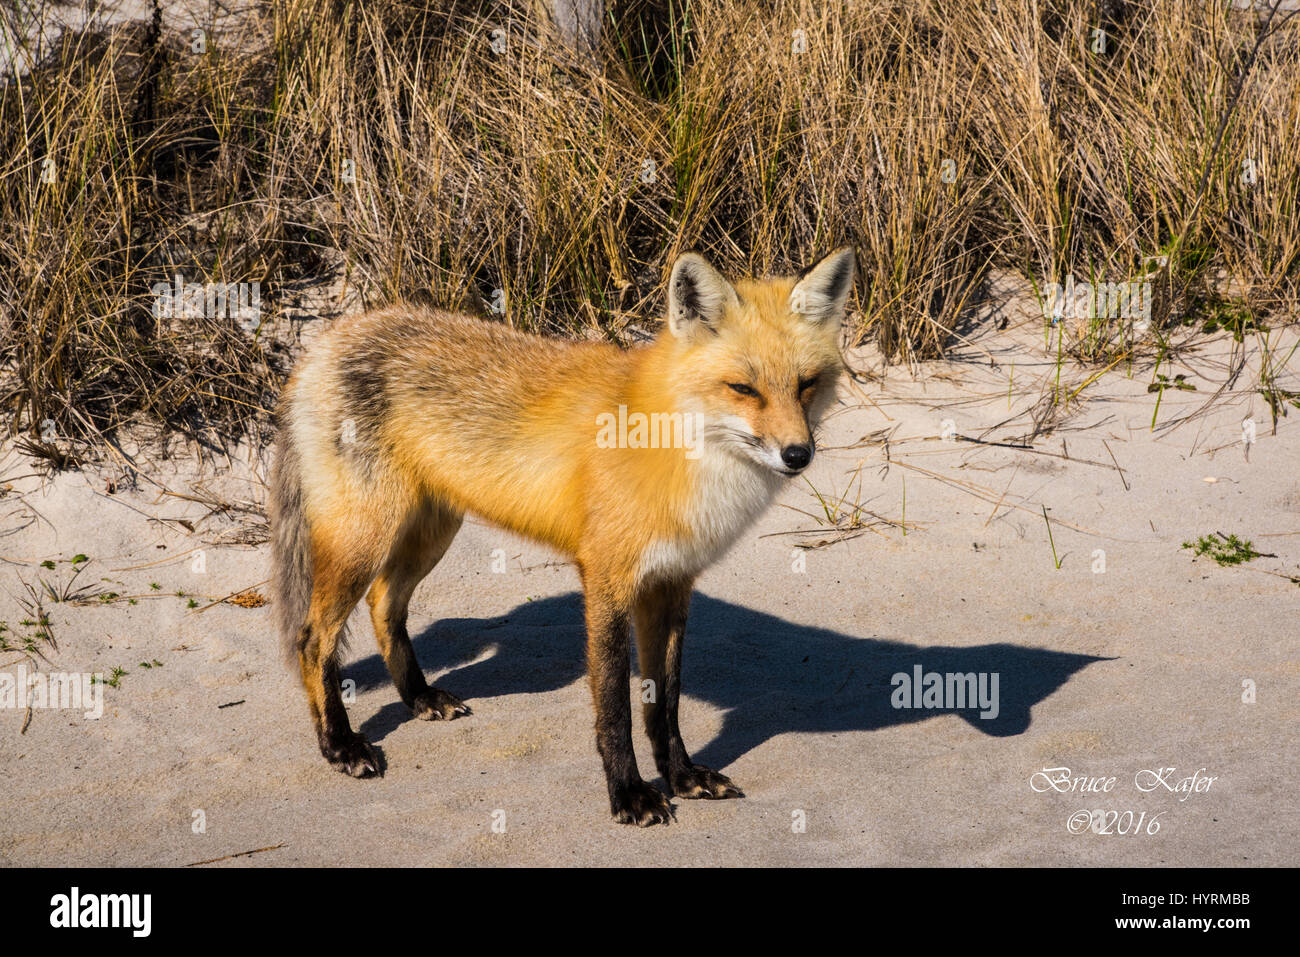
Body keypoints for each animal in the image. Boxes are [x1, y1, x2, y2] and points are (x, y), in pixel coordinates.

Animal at [269, 246, 856, 826]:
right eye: (743, 389)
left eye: (806, 385)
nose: (798, 455)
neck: (670, 443)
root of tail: (327, 340)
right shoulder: (608, 580)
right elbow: (616, 706)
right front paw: (629, 794)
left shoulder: (671, 583)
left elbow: (664, 701)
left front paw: (682, 776)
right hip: (364, 538)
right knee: (313, 638)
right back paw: (339, 744)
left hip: (430, 532)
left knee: (384, 605)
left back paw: (418, 698)